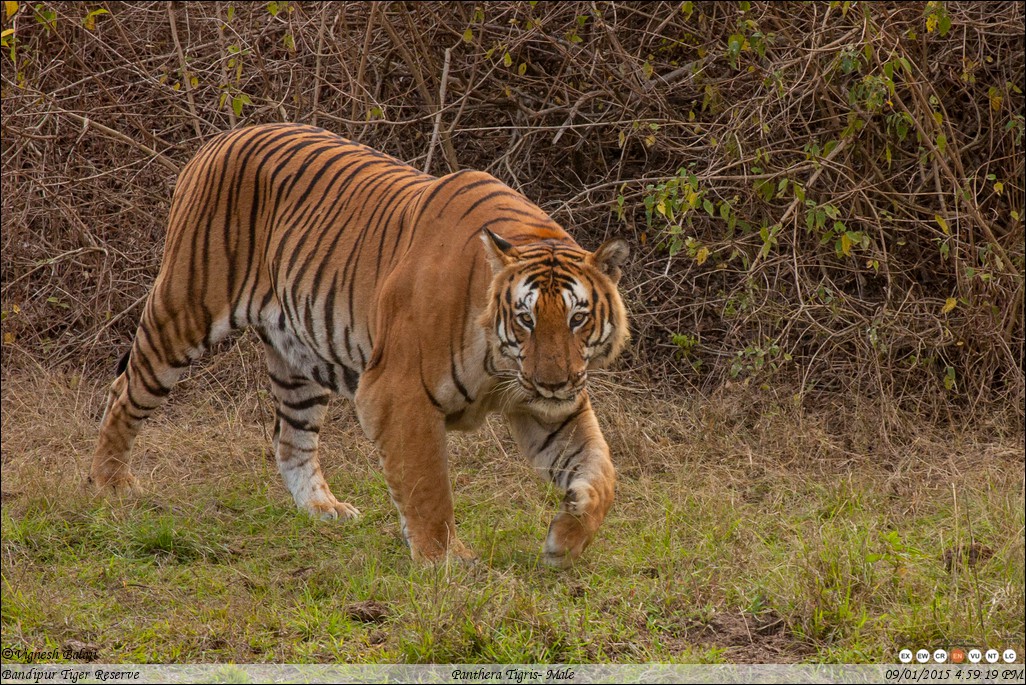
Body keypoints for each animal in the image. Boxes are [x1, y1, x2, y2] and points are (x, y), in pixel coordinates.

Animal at [90, 122, 629, 568]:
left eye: (578, 319)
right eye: (526, 320)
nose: (552, 382)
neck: (502, 363)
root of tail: (220, 139)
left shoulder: (552, 409)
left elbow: (602, 472)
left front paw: (566, 538)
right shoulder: (398, 393)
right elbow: (428, 486)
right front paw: (446, 561)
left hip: (298, 360)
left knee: (292, 440)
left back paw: (323, 509)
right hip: (184, 311)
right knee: (124, 393)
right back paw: (112, 488)